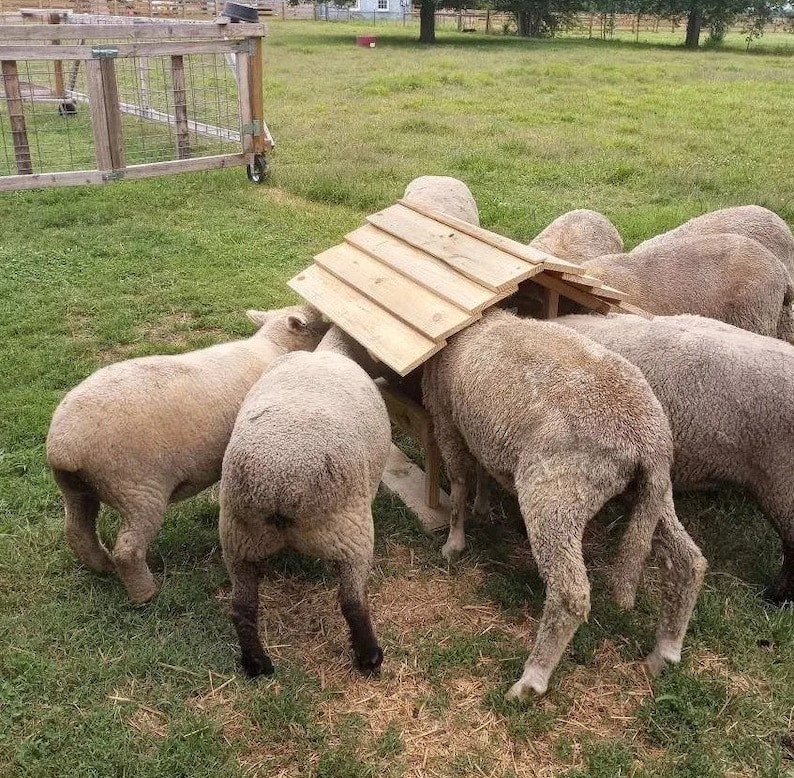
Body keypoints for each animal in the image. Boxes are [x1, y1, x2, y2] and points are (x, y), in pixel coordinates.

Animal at [46, 304, 328, 604]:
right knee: (127, 549)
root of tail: (63, 448)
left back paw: (101, 566)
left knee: (77, 531)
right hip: (137, 489)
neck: (274, 346)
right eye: (318, 323)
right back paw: (145, 593)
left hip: (76, 489)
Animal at [219, 330, 391, 678]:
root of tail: (277, 488)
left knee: (242, 607)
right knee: (352, 602)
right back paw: (369, 656)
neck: (333, 351)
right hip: (350, 533)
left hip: (238, 539)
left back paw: (256, 663)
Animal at [421, 308, 706, 700]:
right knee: (688, 561)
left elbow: (459, 484)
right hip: (653, 493)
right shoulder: (479, 430)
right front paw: (482, 506)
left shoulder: (447, 419)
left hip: (555, 492)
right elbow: (481, 471)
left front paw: (453, 543)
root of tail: (647, 439)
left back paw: (531, 680)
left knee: (570, 593)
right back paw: (665, 651)